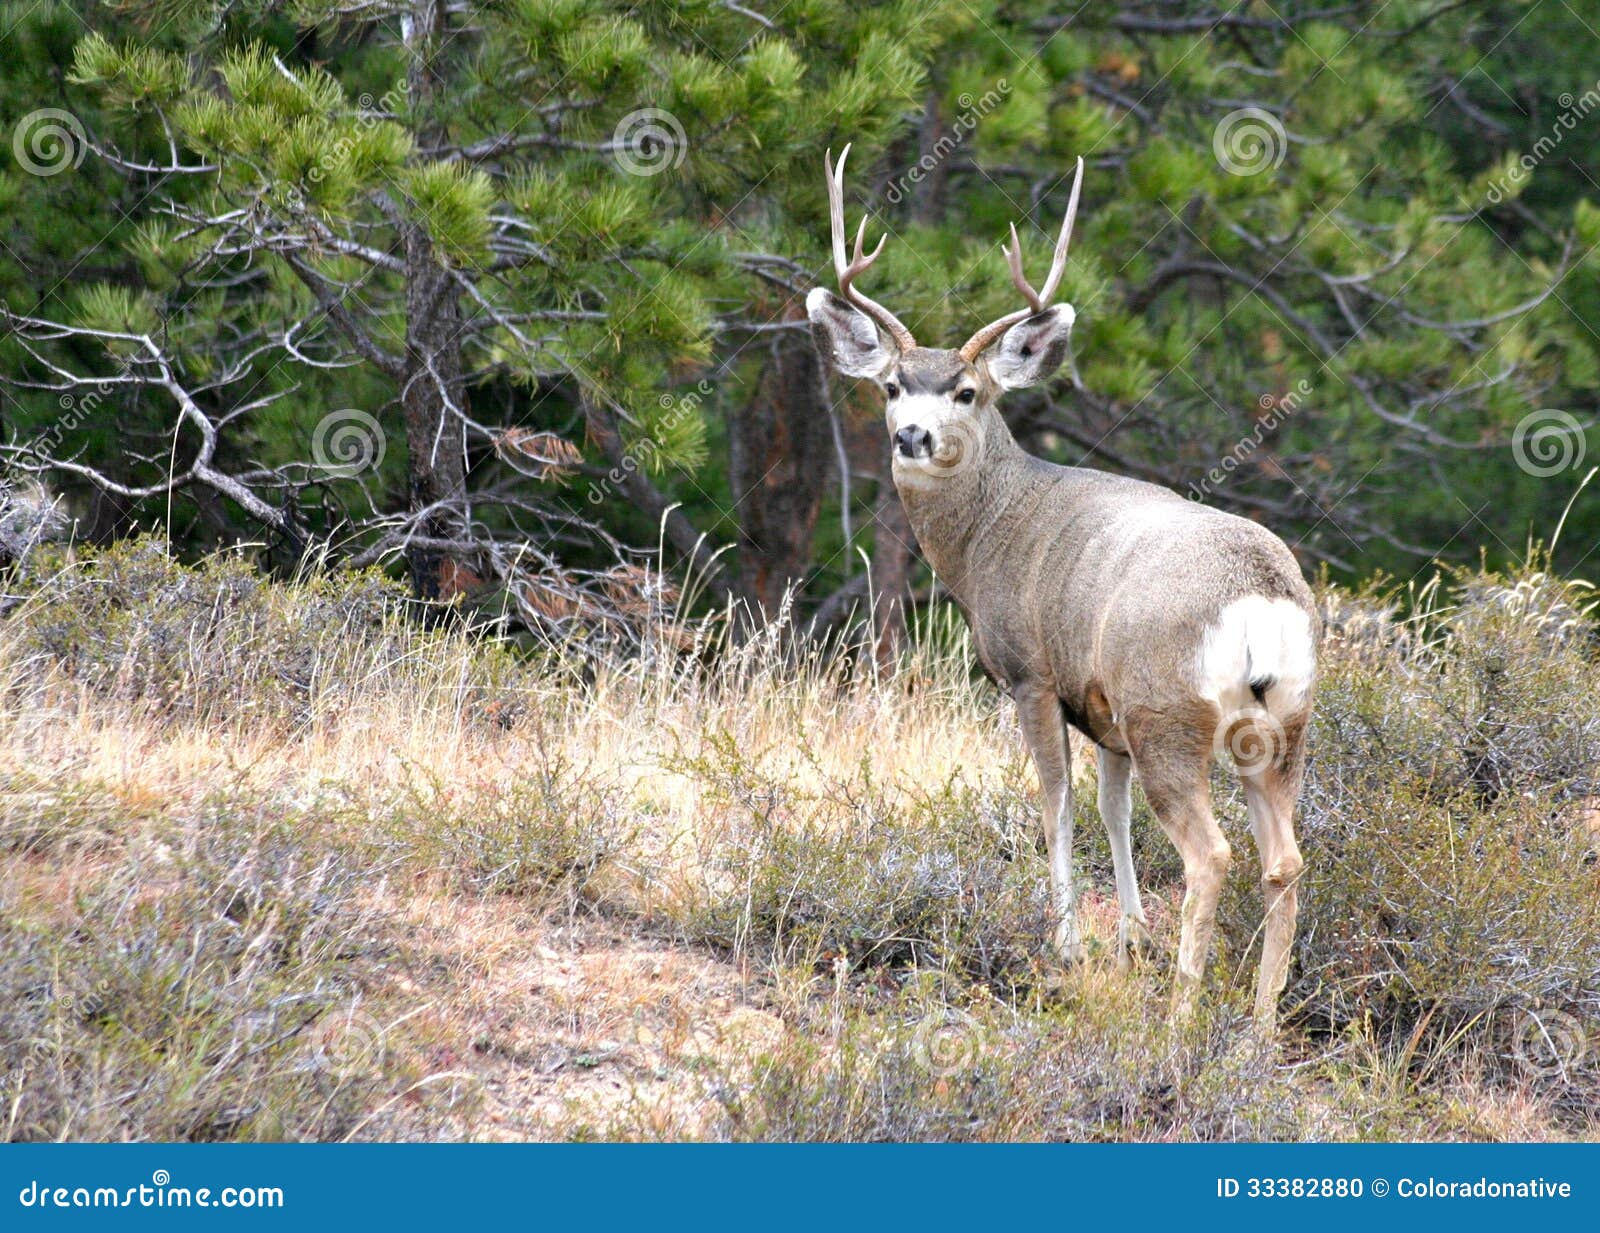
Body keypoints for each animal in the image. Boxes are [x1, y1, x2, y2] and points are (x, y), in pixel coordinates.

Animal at [806, 146, 1318, 1031]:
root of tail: (1260, 598)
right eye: (893, 384)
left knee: (1212, 853)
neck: (990, 533)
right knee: (1282, 859)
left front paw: (1070, 942)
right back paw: (1257, 1023)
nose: (913, 436)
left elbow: (1055, 801)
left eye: (968, 390)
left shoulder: (1031, 673)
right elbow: (1111, 811)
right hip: (1281, 725)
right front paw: (1132, 938)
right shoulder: (1102, 708)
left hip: (1169, 713)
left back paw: (1181, 1016)